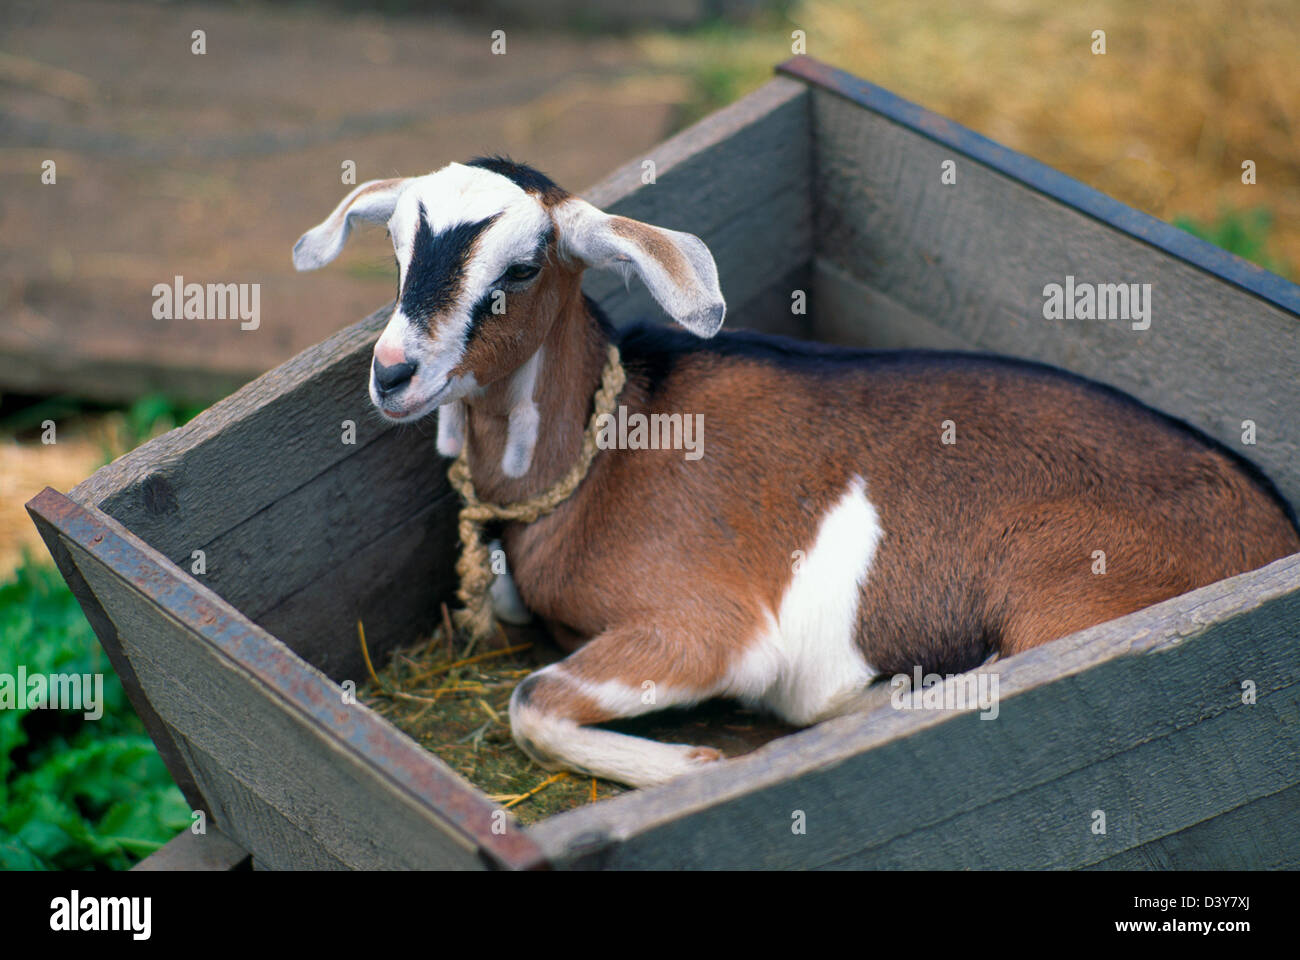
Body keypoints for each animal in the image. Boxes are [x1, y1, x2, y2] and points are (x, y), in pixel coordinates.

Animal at [294, 157, 1300, 788]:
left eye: (523, 266)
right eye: (398, 250)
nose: (393, 374)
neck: (605, 454)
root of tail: (1279, 532)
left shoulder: (706, 628)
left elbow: (532, 697)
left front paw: (693, 768)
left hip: (1062, 597)